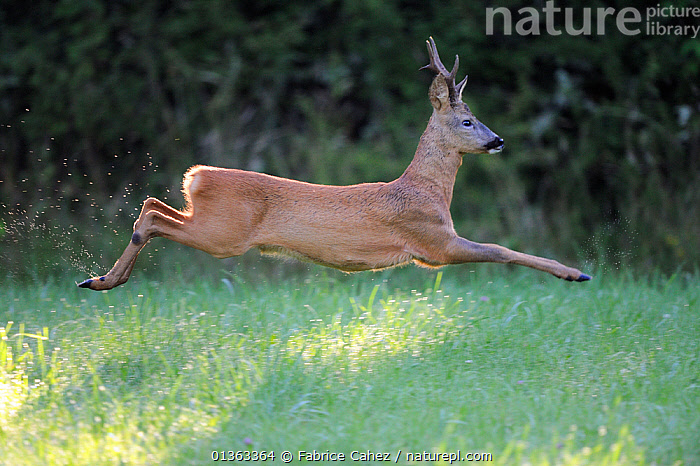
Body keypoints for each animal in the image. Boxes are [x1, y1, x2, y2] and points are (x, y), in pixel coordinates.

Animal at [78, 37, 591, 291]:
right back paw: (103, 279)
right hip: (224, 234)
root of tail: (197, 176)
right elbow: (502, 250)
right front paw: (575, 272)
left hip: (211, 222)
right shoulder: (433, 243)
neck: (425, 191)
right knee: (151, 218)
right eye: (467, 120)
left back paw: (100, 279)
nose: (498, 140)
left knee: (151, 205)